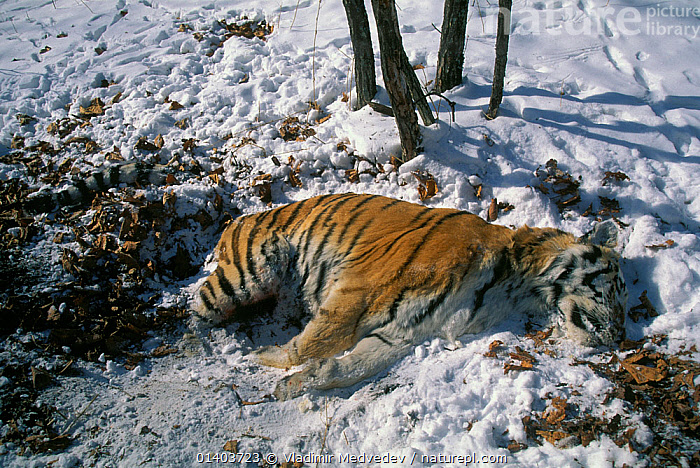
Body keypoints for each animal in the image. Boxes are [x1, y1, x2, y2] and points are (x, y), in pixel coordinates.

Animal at [193, 193, 627, 401]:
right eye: (618, 290)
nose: (621, 338)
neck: (513, 287)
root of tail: (240, 217)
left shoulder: (406, 329)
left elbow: (348, 366)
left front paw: (297, 384)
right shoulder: (361, 285)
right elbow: (316, 340)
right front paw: (265, 359)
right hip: (250, 273)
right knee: (196, 308)